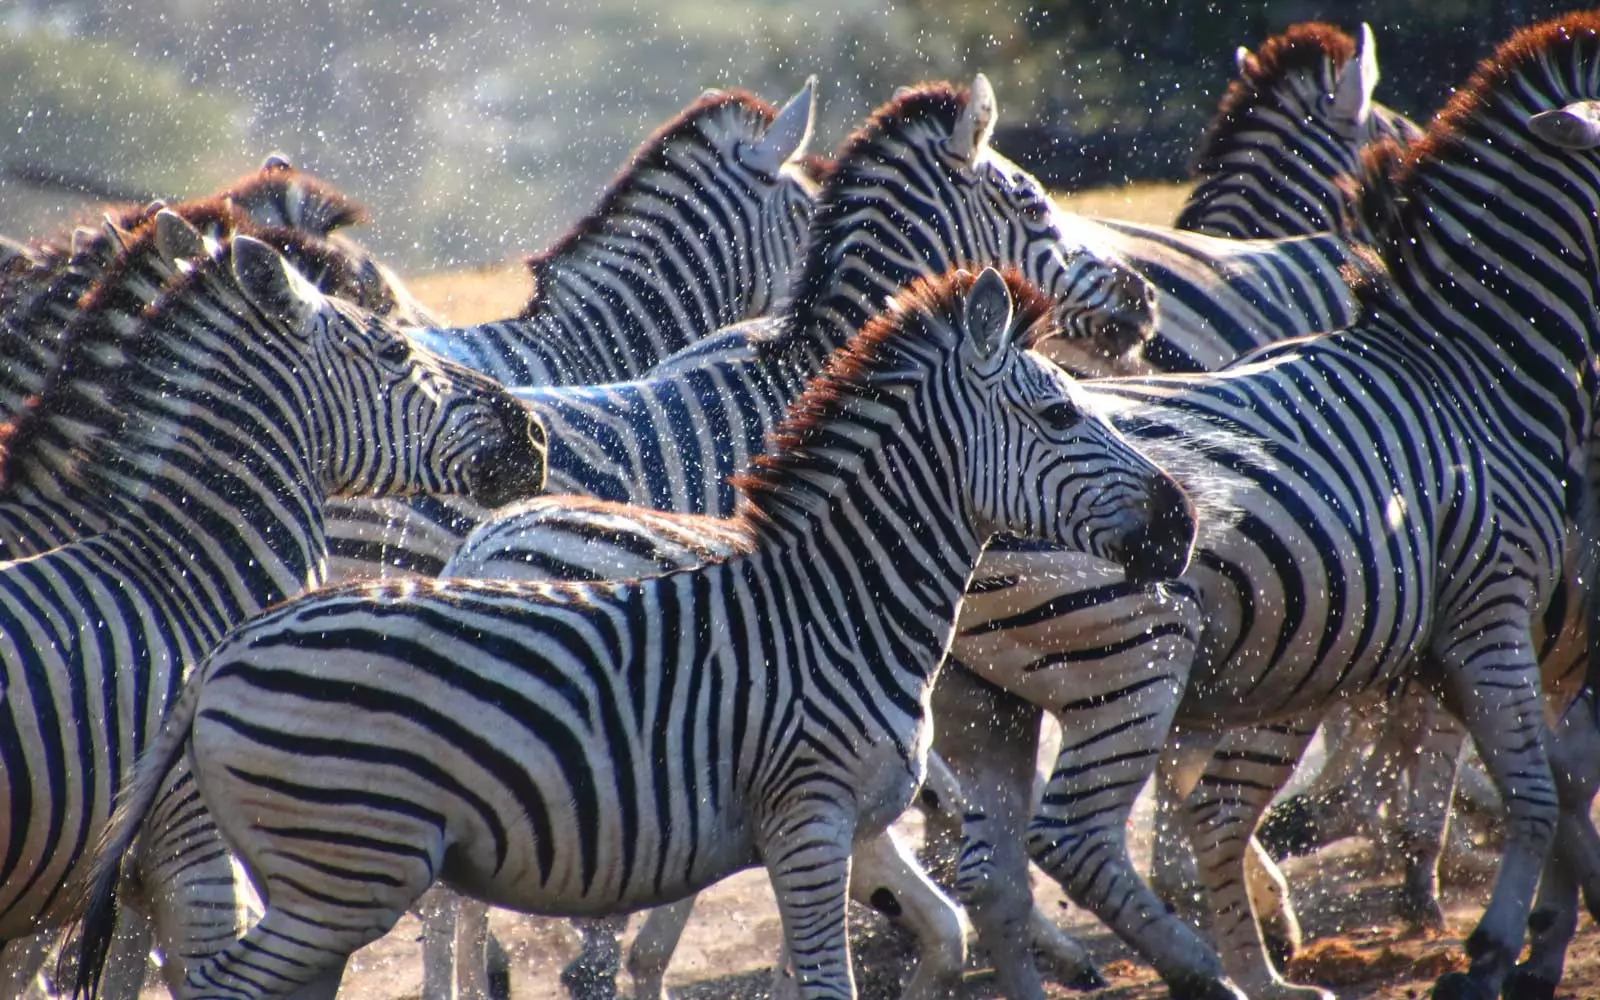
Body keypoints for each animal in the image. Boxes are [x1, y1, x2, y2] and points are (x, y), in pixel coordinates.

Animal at [75, 264, 1203, 998]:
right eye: (1060, 415)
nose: (1183, 522)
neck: (838, 602)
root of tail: (219, 656)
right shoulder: (806, 816)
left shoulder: (838, 822)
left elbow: (930, 932)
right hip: (344, 869)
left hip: (323, 872)